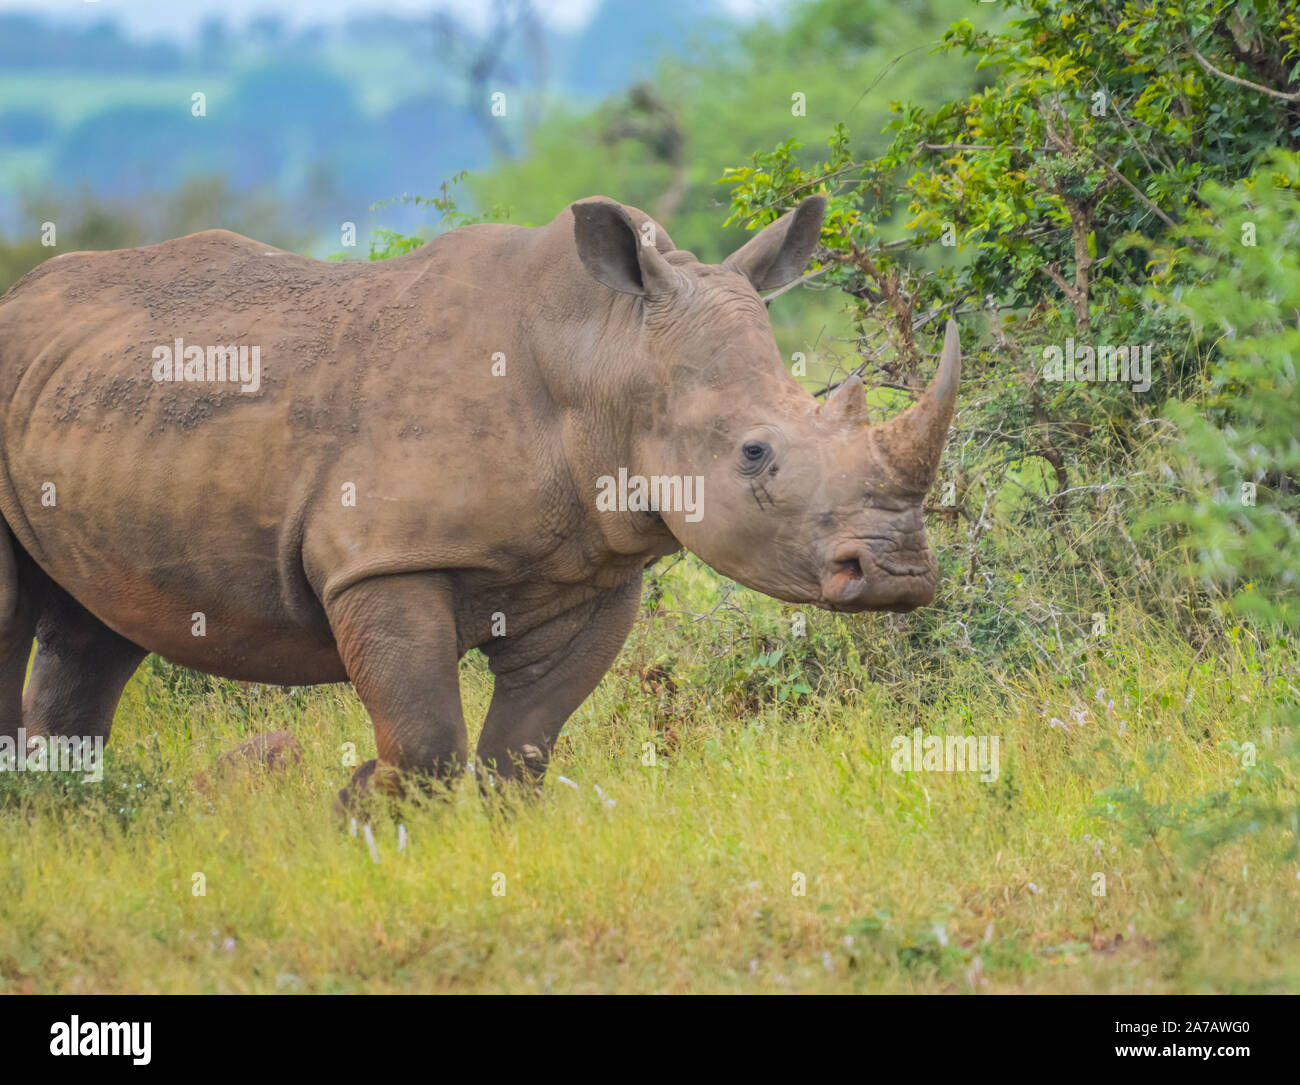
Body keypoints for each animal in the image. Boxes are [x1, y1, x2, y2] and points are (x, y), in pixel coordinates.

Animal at [0, 195, 959, 803]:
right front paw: (363, 813)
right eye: (756, 454)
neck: (605, 353)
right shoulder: (379, 561)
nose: (901, 574)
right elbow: (426, 745)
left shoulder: (596, 572)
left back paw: (72, 818)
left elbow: (521, 748)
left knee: (99, 624)